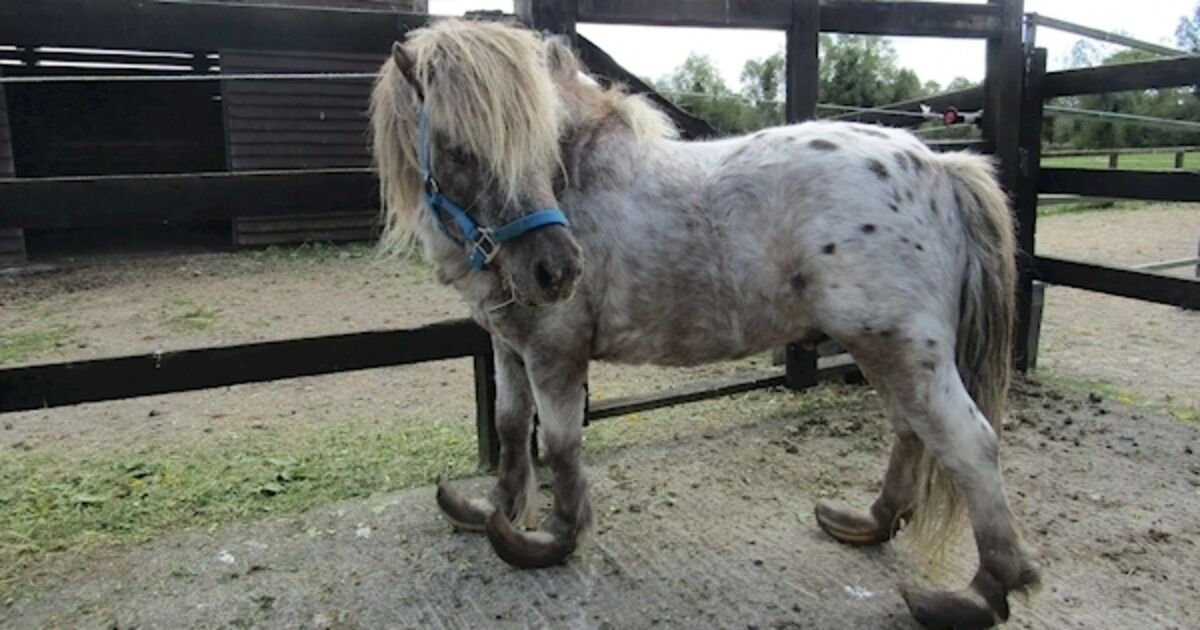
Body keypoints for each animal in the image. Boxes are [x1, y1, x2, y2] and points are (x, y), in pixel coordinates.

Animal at [370, 19, 1040, 629]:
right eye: (458, 151)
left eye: (540, 148)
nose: (556, 271)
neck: (577, 183)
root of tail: (940, 167)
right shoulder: (510, 347)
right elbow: (511, 430)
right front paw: (494, 510)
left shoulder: (554, 354)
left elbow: (560, 445)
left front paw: (550, 539)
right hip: (886, 351)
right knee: (910, 430)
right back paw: (869, 523)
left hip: (904, 351)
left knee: (970, 444)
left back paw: (981, 594)